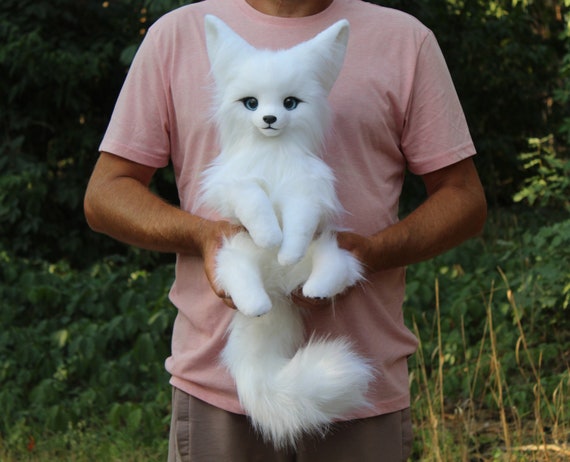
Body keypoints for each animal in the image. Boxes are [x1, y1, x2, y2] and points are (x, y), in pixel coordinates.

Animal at [197, 15, 374, 449]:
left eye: (290, 103)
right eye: (251, 103)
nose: (270, 119)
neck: (272, 153)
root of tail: (278, 288)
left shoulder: (305, 191)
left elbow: (297, 221)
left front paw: (286, 246)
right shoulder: (237, 185)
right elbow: (256, 203)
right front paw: (269, 237)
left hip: (329, 252)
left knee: (331, 270)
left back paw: (313, 287)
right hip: (233, 257)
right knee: (243, 280)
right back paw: (257, 301)